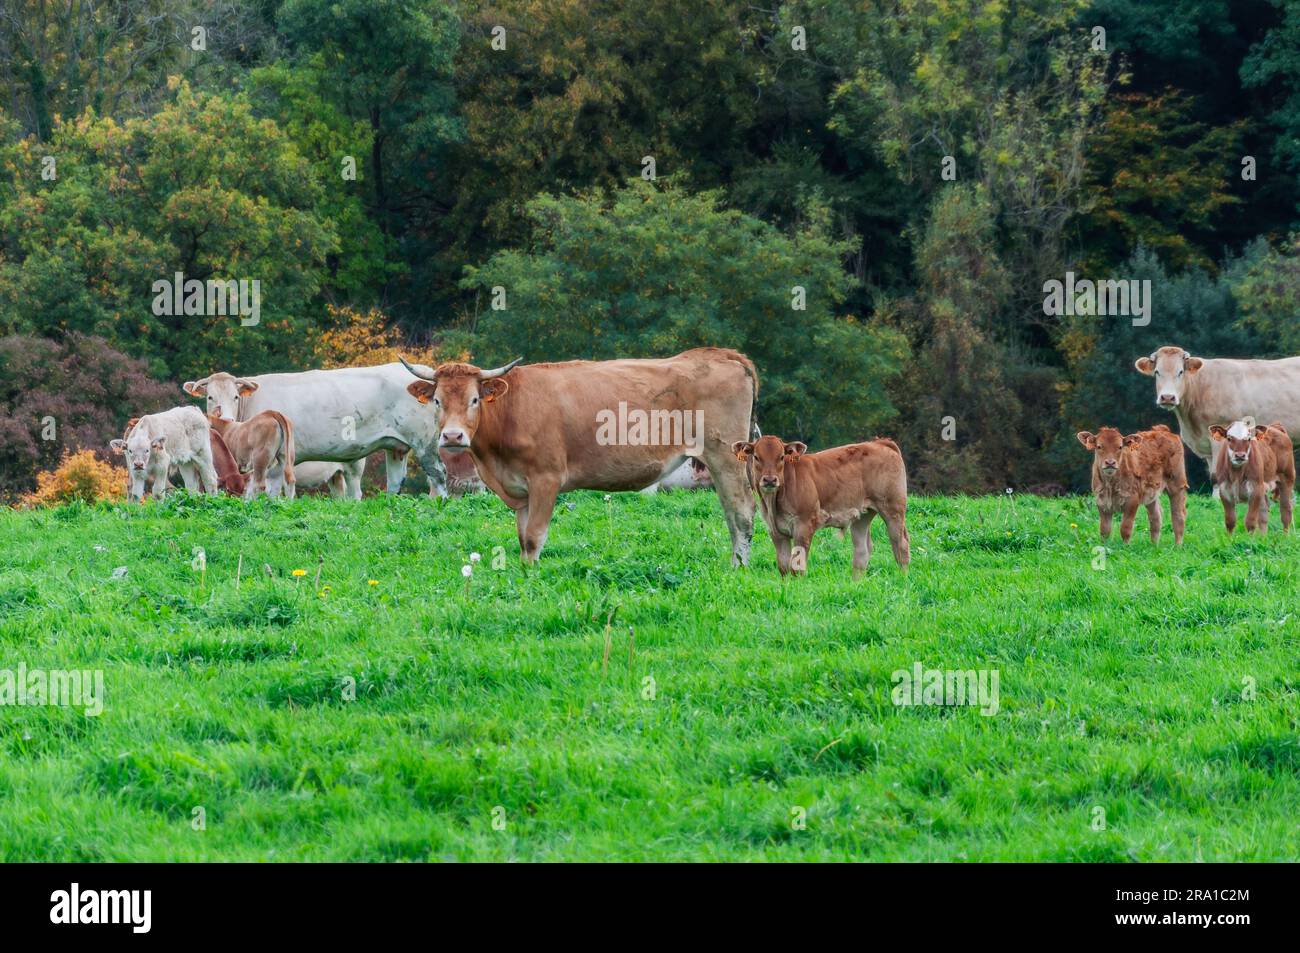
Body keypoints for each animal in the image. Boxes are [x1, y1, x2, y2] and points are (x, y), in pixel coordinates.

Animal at [182, 364, 452, 499]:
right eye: (209, 396)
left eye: (236, 396)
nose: (225, 417)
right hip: (397, 447)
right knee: (395, 481)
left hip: (425, 442)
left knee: (438, 474)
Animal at [399, 348, 760, 565]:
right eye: (437, 401)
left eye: (474, 399)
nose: (452, 436)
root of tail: (720, 354)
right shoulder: (521, 489)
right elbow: (521, 537)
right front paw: (522, 572)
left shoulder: (546, 479)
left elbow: (534, 536)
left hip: (725, 457)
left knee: (741, 511)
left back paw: (739, 566)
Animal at [731, 435, 910, 577]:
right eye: (756, 456)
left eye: (781, 457)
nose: (769, 480)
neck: (773, 503)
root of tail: (881, 443)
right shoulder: (775, 531)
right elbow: (783, 567)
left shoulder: (804, 526)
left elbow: (797, 567)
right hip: (862, 515)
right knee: (862, 550)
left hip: (893, 509)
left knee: (901, 545)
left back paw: (903, 578)